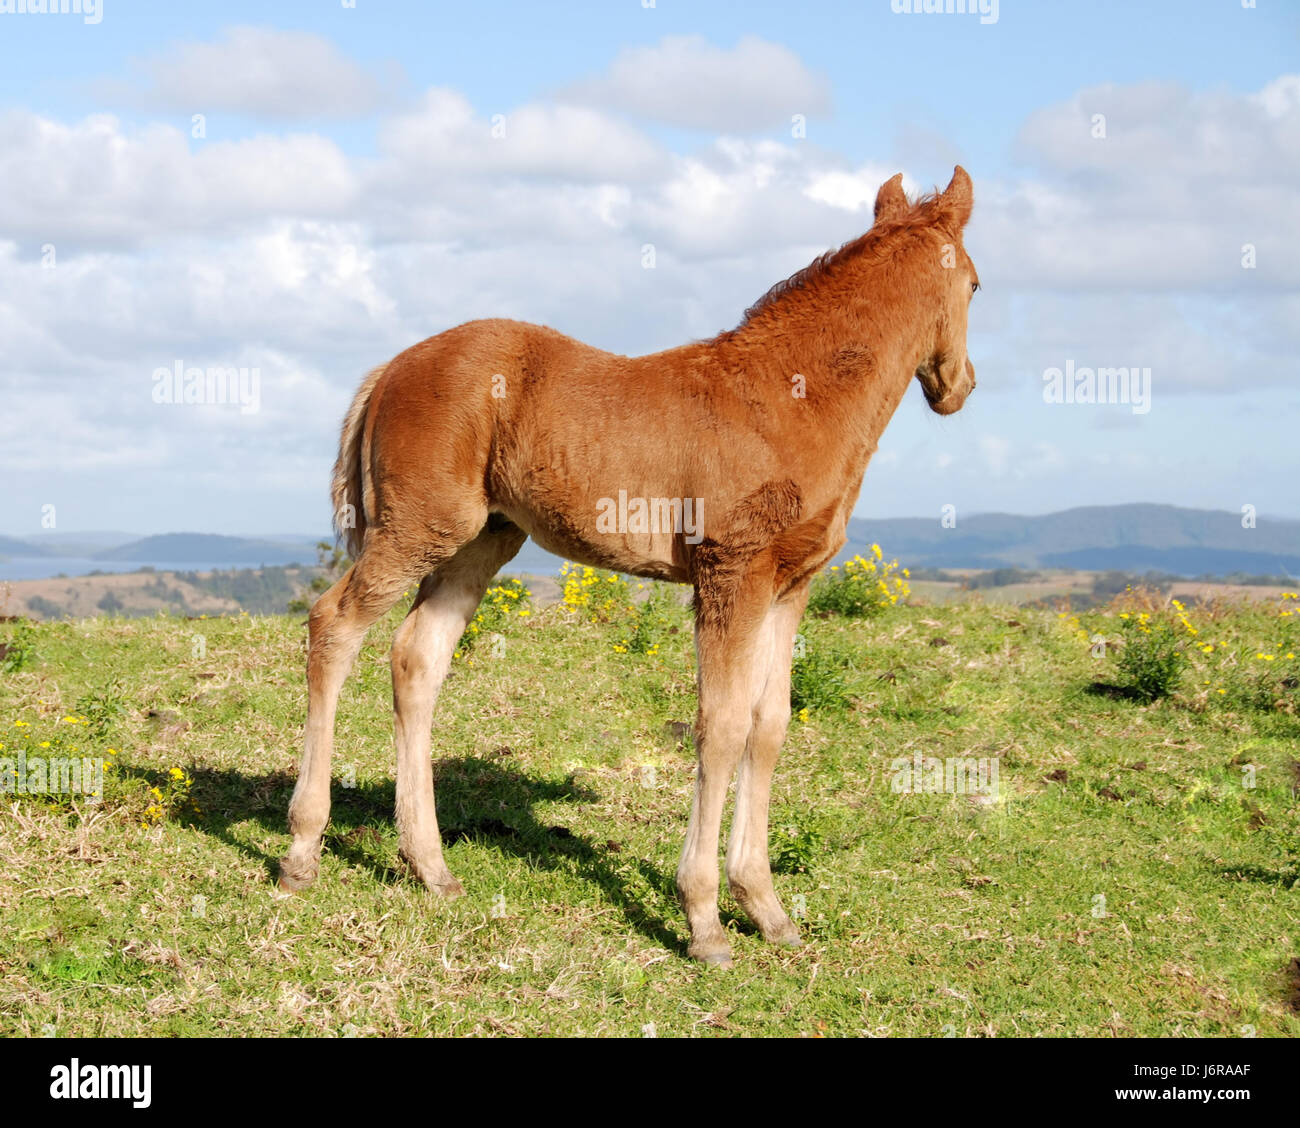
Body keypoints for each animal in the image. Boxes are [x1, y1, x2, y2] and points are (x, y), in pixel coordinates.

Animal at [279, 166, 979, 966]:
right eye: (977, 285)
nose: (959, 386)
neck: (792, 395)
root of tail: (390, 368)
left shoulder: (790, 585)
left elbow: (769, 725)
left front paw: (766, 909)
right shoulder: (730, 573)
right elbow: (722, 725)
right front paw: (704, 921)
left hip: (482, 540)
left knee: (415, 658)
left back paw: (431, 867)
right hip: (421, 527)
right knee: (333, 624)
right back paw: (301, 851)